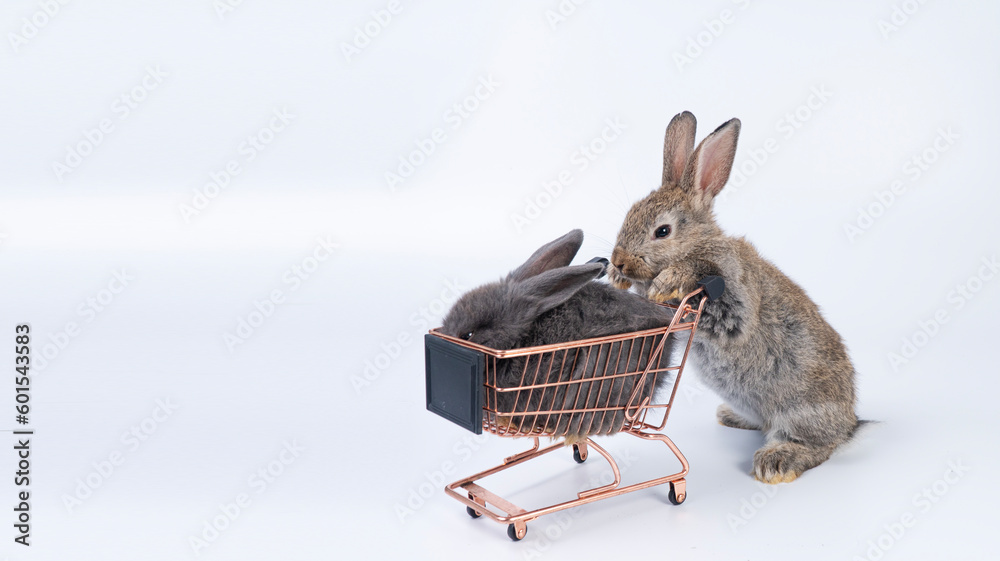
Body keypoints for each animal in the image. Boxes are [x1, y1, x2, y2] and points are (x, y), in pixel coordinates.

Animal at [607, 111, 861, 484]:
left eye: (662, 231)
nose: (618, 260)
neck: (698, 243)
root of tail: (851, 419)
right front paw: (619, 280)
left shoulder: (735, 299)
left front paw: (669, 280)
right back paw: (732, 417)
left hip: (801, 410)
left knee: (819, 444)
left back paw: (777, 461)